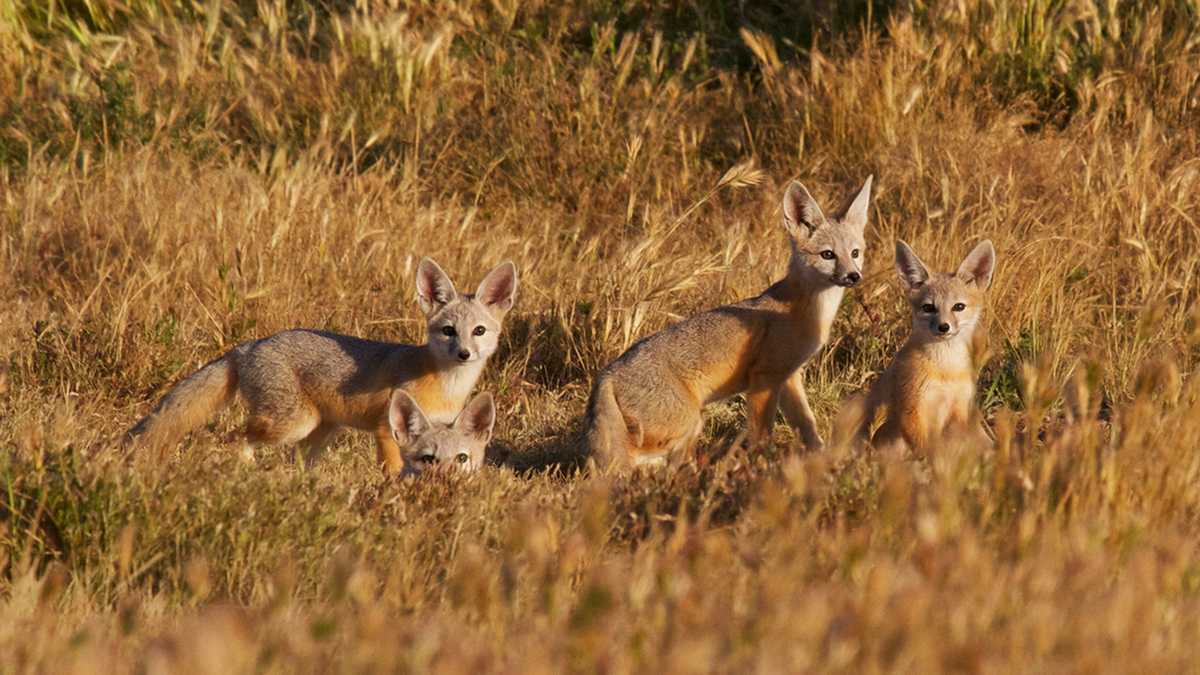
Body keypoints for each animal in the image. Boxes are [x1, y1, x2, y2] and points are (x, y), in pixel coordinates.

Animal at [127, 258, 517, 475]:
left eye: (478, 331)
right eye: (448, 331)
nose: (464, 353)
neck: (446, 385)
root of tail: (250, 344)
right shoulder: (385, 429)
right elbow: (393, 470)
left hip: (320, 431)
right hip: (293, 423)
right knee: (229, 438)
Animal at [585, 176, 874, 469]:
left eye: (855, 253)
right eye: (828, 255)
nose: (854, 276)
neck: (808, 312)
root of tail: (607, 375)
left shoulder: (789, 377)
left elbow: (807, 424)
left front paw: (823, 458)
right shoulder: (764, 379)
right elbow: (761, 435)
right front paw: (763, 466)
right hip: (690, 422)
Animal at [850, 239, 996, 455]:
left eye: (958, 307)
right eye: (928, 308)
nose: (944, 327)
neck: (945, 371)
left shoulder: (959, 409)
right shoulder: (912, 408)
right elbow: (927, 452)